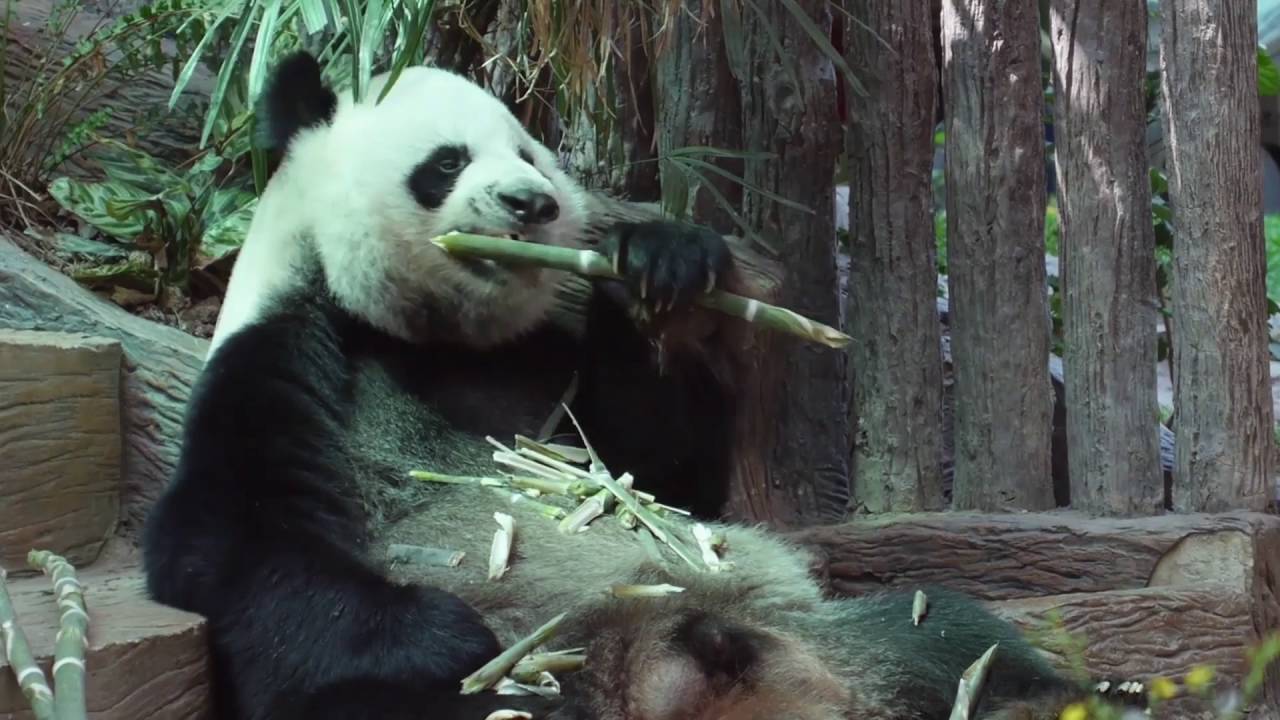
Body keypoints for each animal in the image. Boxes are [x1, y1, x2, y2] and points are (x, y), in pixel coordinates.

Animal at [137, 50, 1131, 717]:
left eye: (532, 155)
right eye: (448, 161)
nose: (532, 206)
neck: (434, 334)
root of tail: (664, 675)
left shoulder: (544, 362)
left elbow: (657, 476)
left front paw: (664, 267)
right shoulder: (290, 352)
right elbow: (236, 546)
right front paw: (452, 636)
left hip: (827, 634)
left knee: (954, 639)